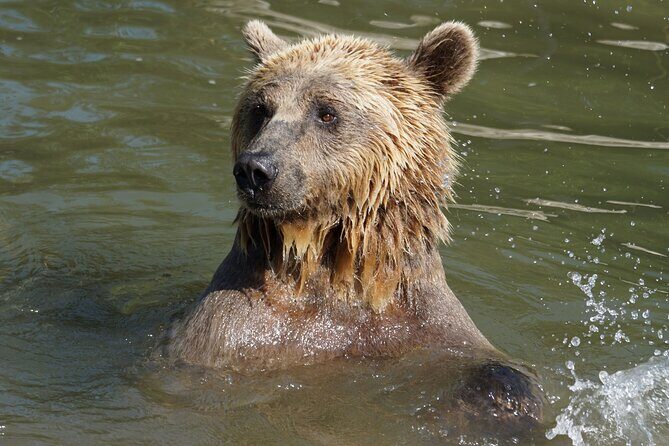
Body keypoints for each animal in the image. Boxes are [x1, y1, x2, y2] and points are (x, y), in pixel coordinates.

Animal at [168, 20, 543, 427]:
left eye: (326, 112)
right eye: (260, 109)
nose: (255, 169)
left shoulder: (421, 322)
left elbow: (487, 365)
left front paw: (504, 400)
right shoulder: (232, 331)